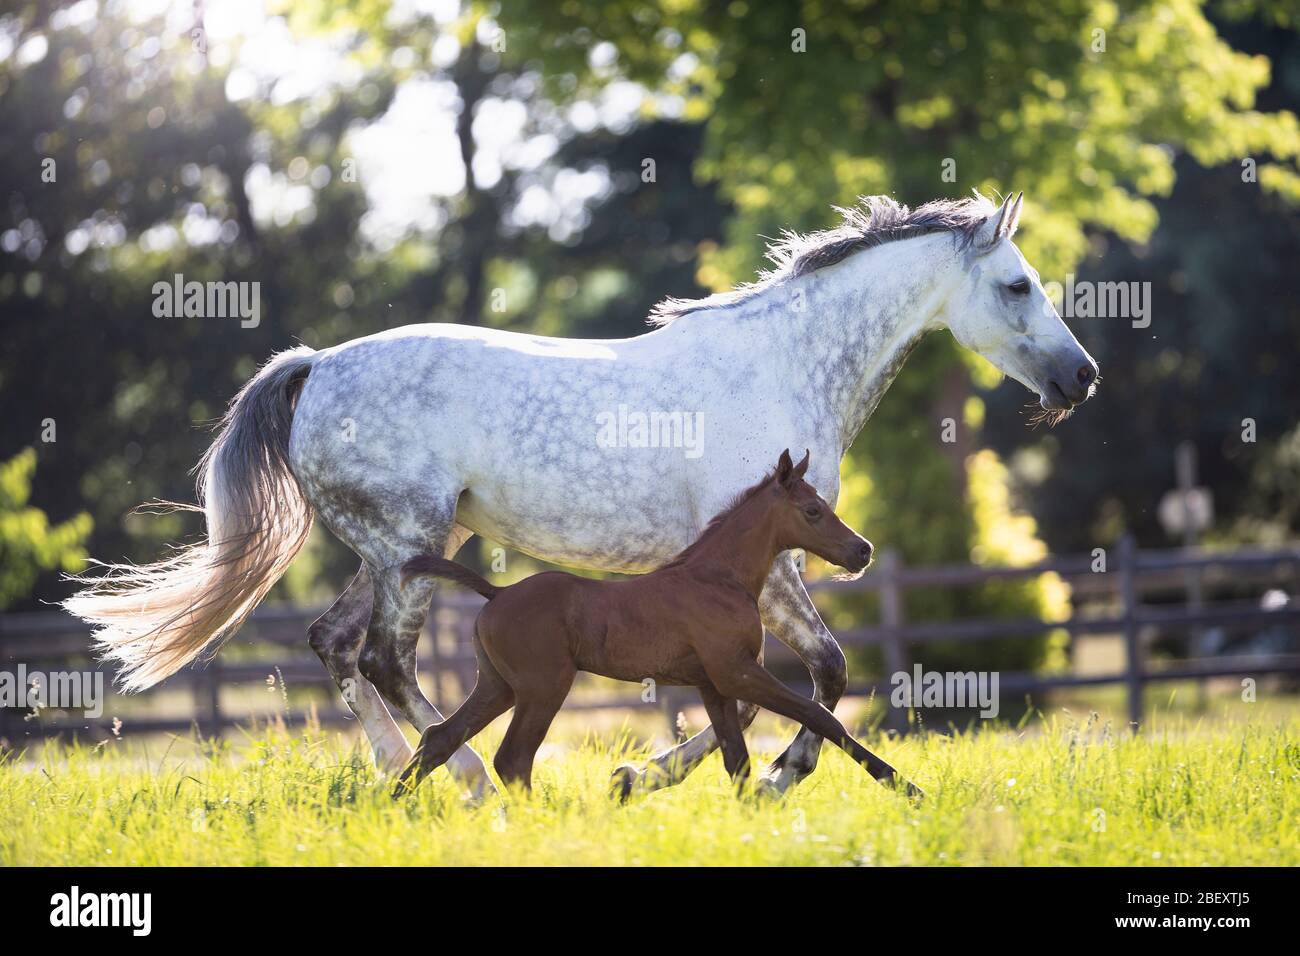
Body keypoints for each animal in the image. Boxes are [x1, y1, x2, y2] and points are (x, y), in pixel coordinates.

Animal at [393, 449, 922, 801]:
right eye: (813, 510)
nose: (862, 551)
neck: (718, 578)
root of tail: (497, 593)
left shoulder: (713, 684)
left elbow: (737, 760)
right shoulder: (736, 672)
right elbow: (820, 715)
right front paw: (905, 786)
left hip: (499, 686)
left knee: (439, 738)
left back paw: (392, 803)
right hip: (544, 687)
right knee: (512, 757)